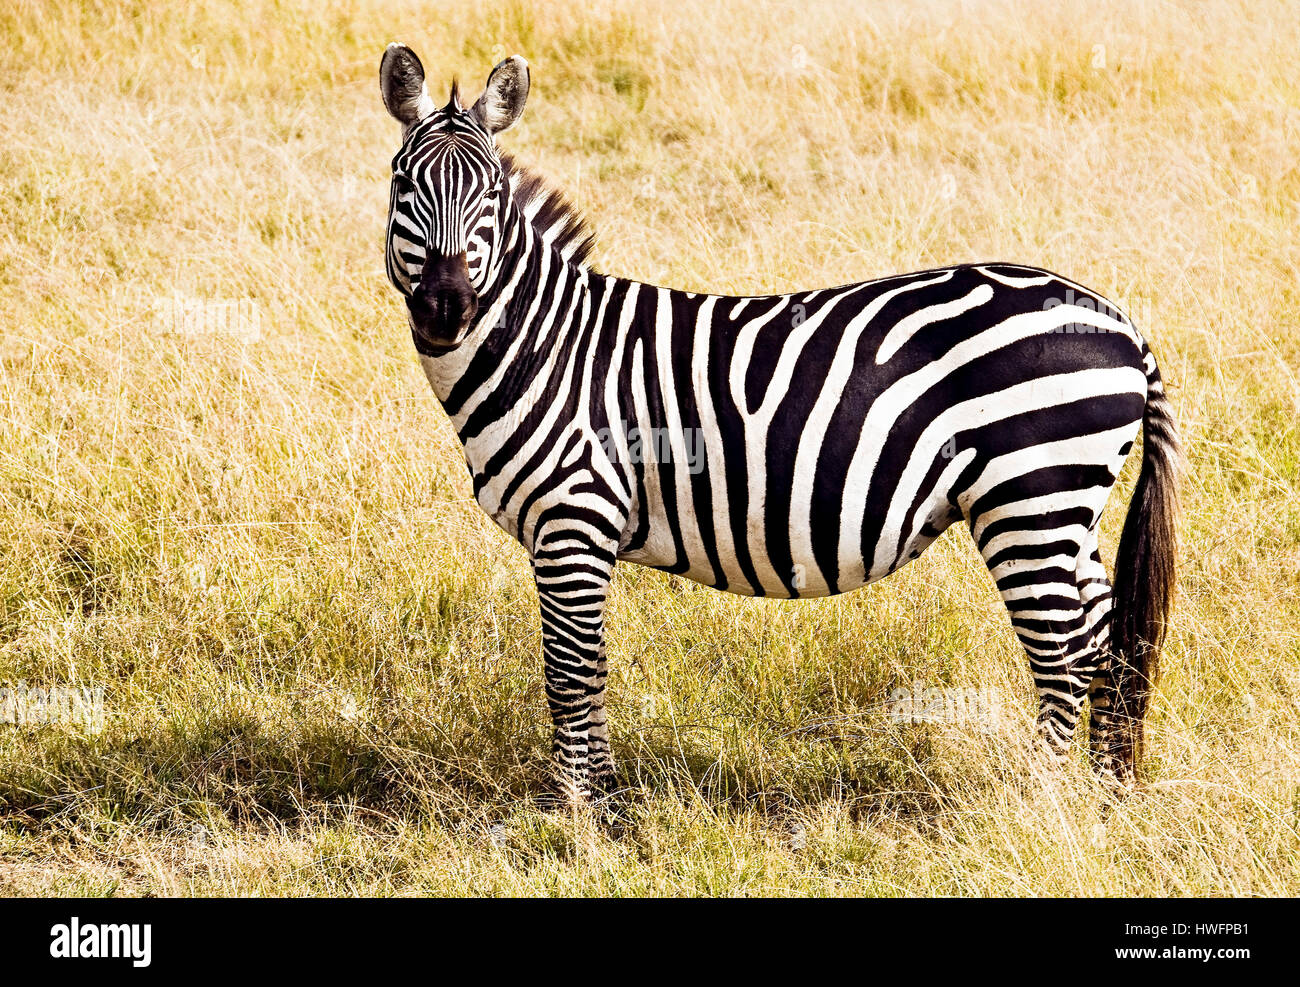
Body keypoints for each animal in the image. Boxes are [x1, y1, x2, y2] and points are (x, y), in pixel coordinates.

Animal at [379, 46, 1181, 801]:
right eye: (402, 185)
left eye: (490, 194)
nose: (446, 307)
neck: (546, 344)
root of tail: (1119, 321)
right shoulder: (575, 531)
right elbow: (586, 668)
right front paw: (601, 796)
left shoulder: (575, 518)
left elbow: (571, 670)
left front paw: (577, 810)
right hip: (1067, 506)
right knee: (1109, 639)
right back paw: (1106, 794)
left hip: (1029, 495)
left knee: (1063, 651)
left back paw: (1040, 799)